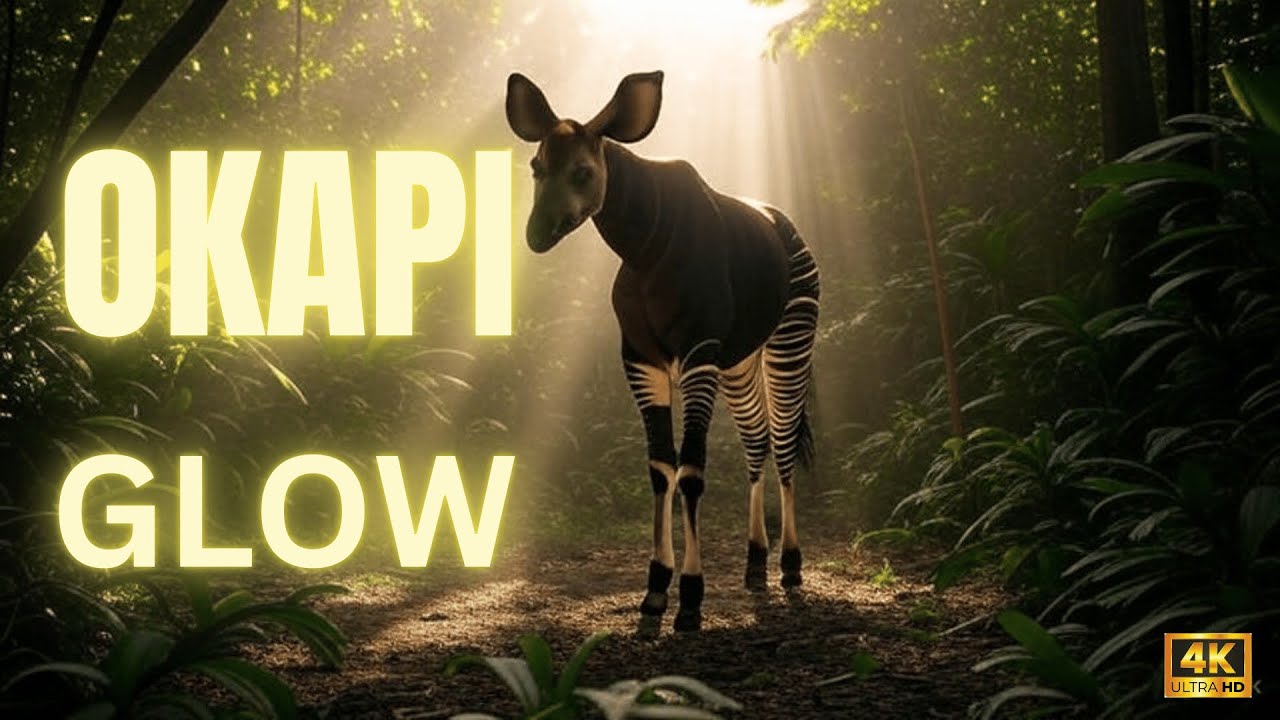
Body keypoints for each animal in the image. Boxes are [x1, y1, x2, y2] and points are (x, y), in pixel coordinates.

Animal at [505, 71, 820, 632]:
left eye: (583, 171)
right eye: (537, 167)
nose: (536, 235)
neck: (647, 247)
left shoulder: (697, 350)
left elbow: (691, 470)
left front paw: (691, 598)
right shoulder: (641, 357)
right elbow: (660, 467)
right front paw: (655, 590)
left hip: (790, 338)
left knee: (783, 441)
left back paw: (789, 566)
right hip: (739, 360)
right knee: (757, 440)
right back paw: (755, 564)